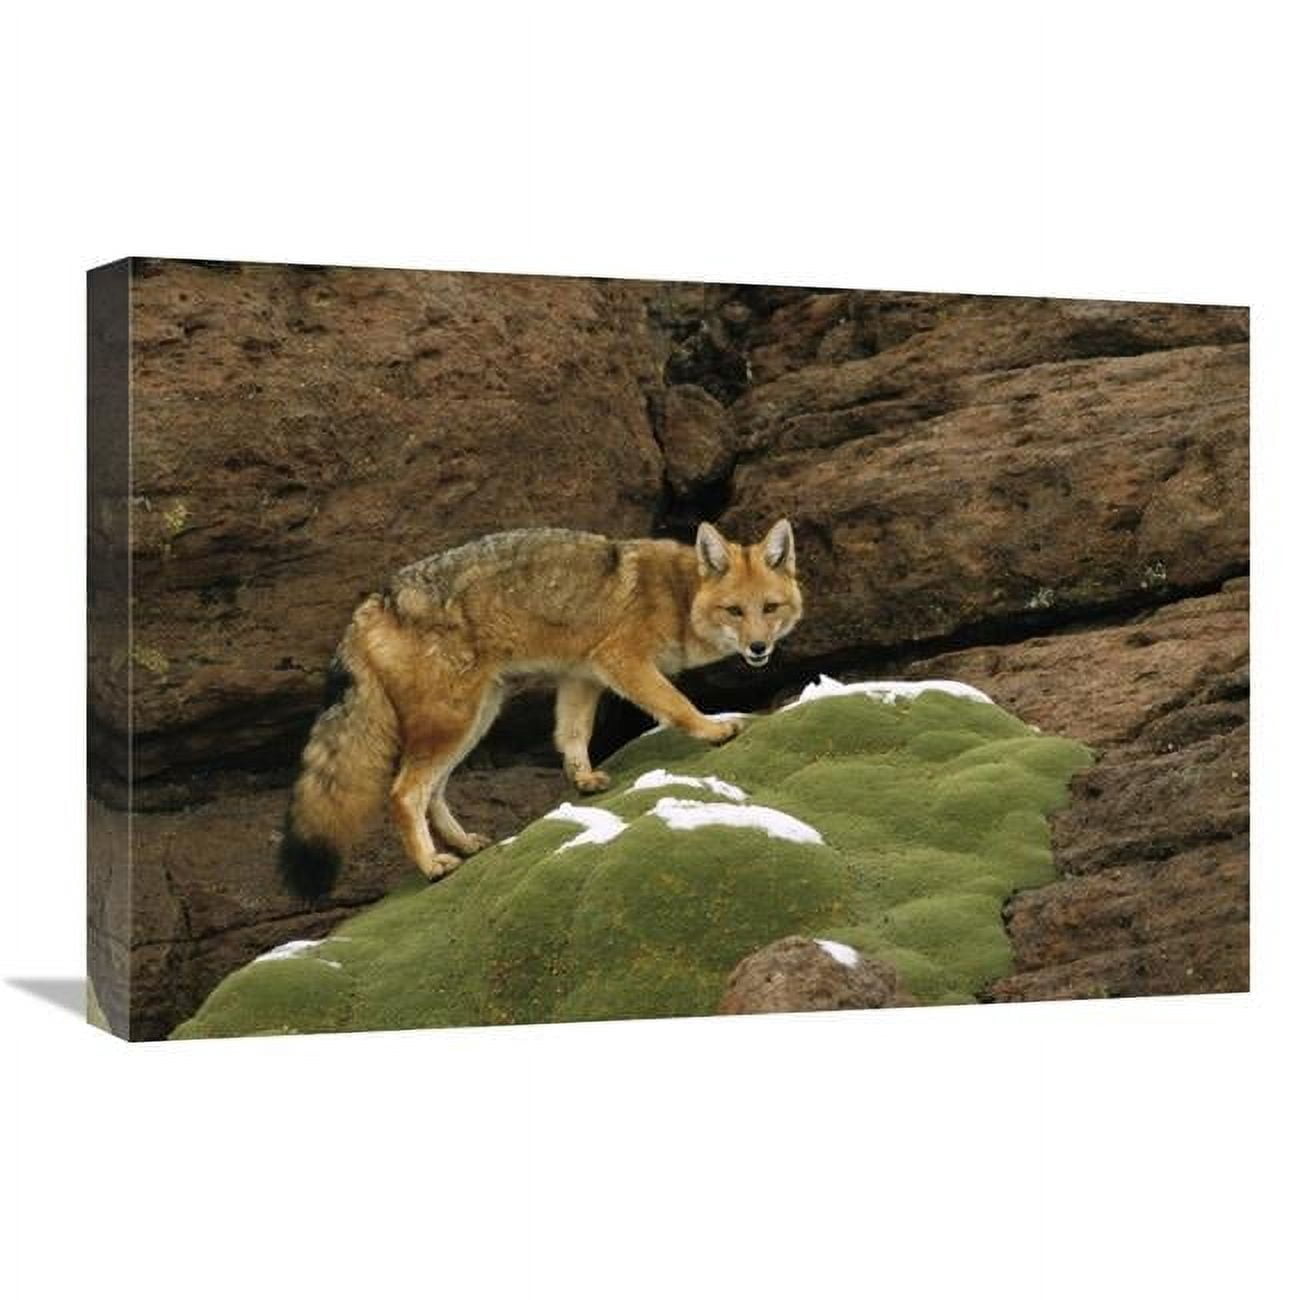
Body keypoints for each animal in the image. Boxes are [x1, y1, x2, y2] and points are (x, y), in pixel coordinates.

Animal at [277, 518, 802, 899]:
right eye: (735, 611)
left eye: (770, 608)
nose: (758, 649)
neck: (678, 593)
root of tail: (373, 602)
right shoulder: (622, 661)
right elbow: (676, 704)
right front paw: (713, 728)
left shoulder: (582, 675)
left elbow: (571, 735)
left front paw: (583, 779)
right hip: (454, 720)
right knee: (404, 793)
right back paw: (432, 866)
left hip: (474, 718)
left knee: (433, 792)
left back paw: (463, 844)